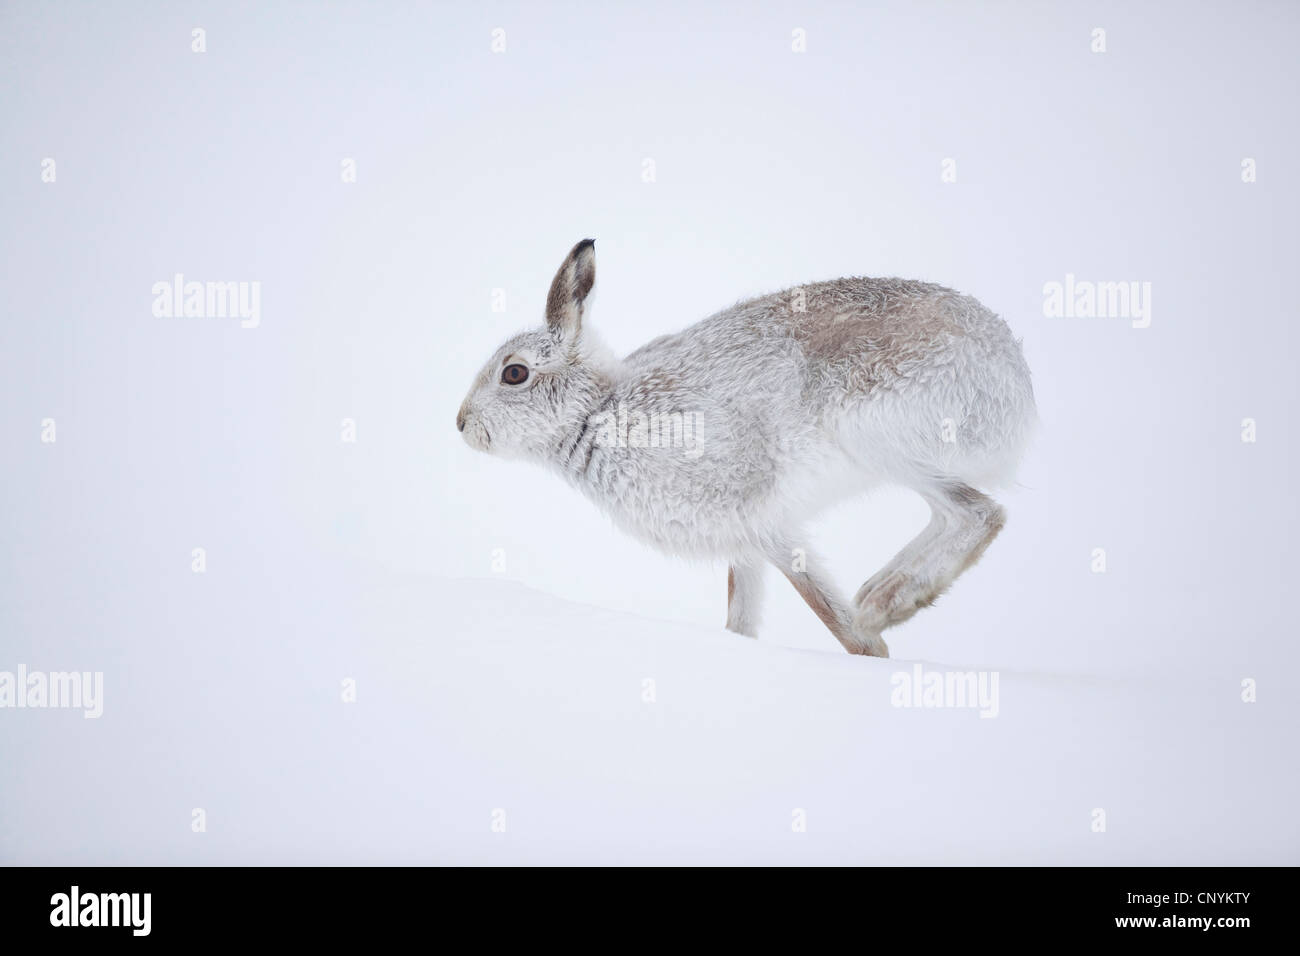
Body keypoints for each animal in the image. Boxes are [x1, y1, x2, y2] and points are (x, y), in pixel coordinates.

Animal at [457, 239, 1036, 657]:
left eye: (514, 374)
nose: (461, 423)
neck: (596, 412)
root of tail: (1017, 385)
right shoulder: (742, 545)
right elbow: (740, 620)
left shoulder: (761, 518)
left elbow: (835, 622)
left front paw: (870, 646)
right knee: (956, 514)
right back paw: (880, 589)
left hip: (871, 432)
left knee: (980, 514)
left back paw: (886, 605)